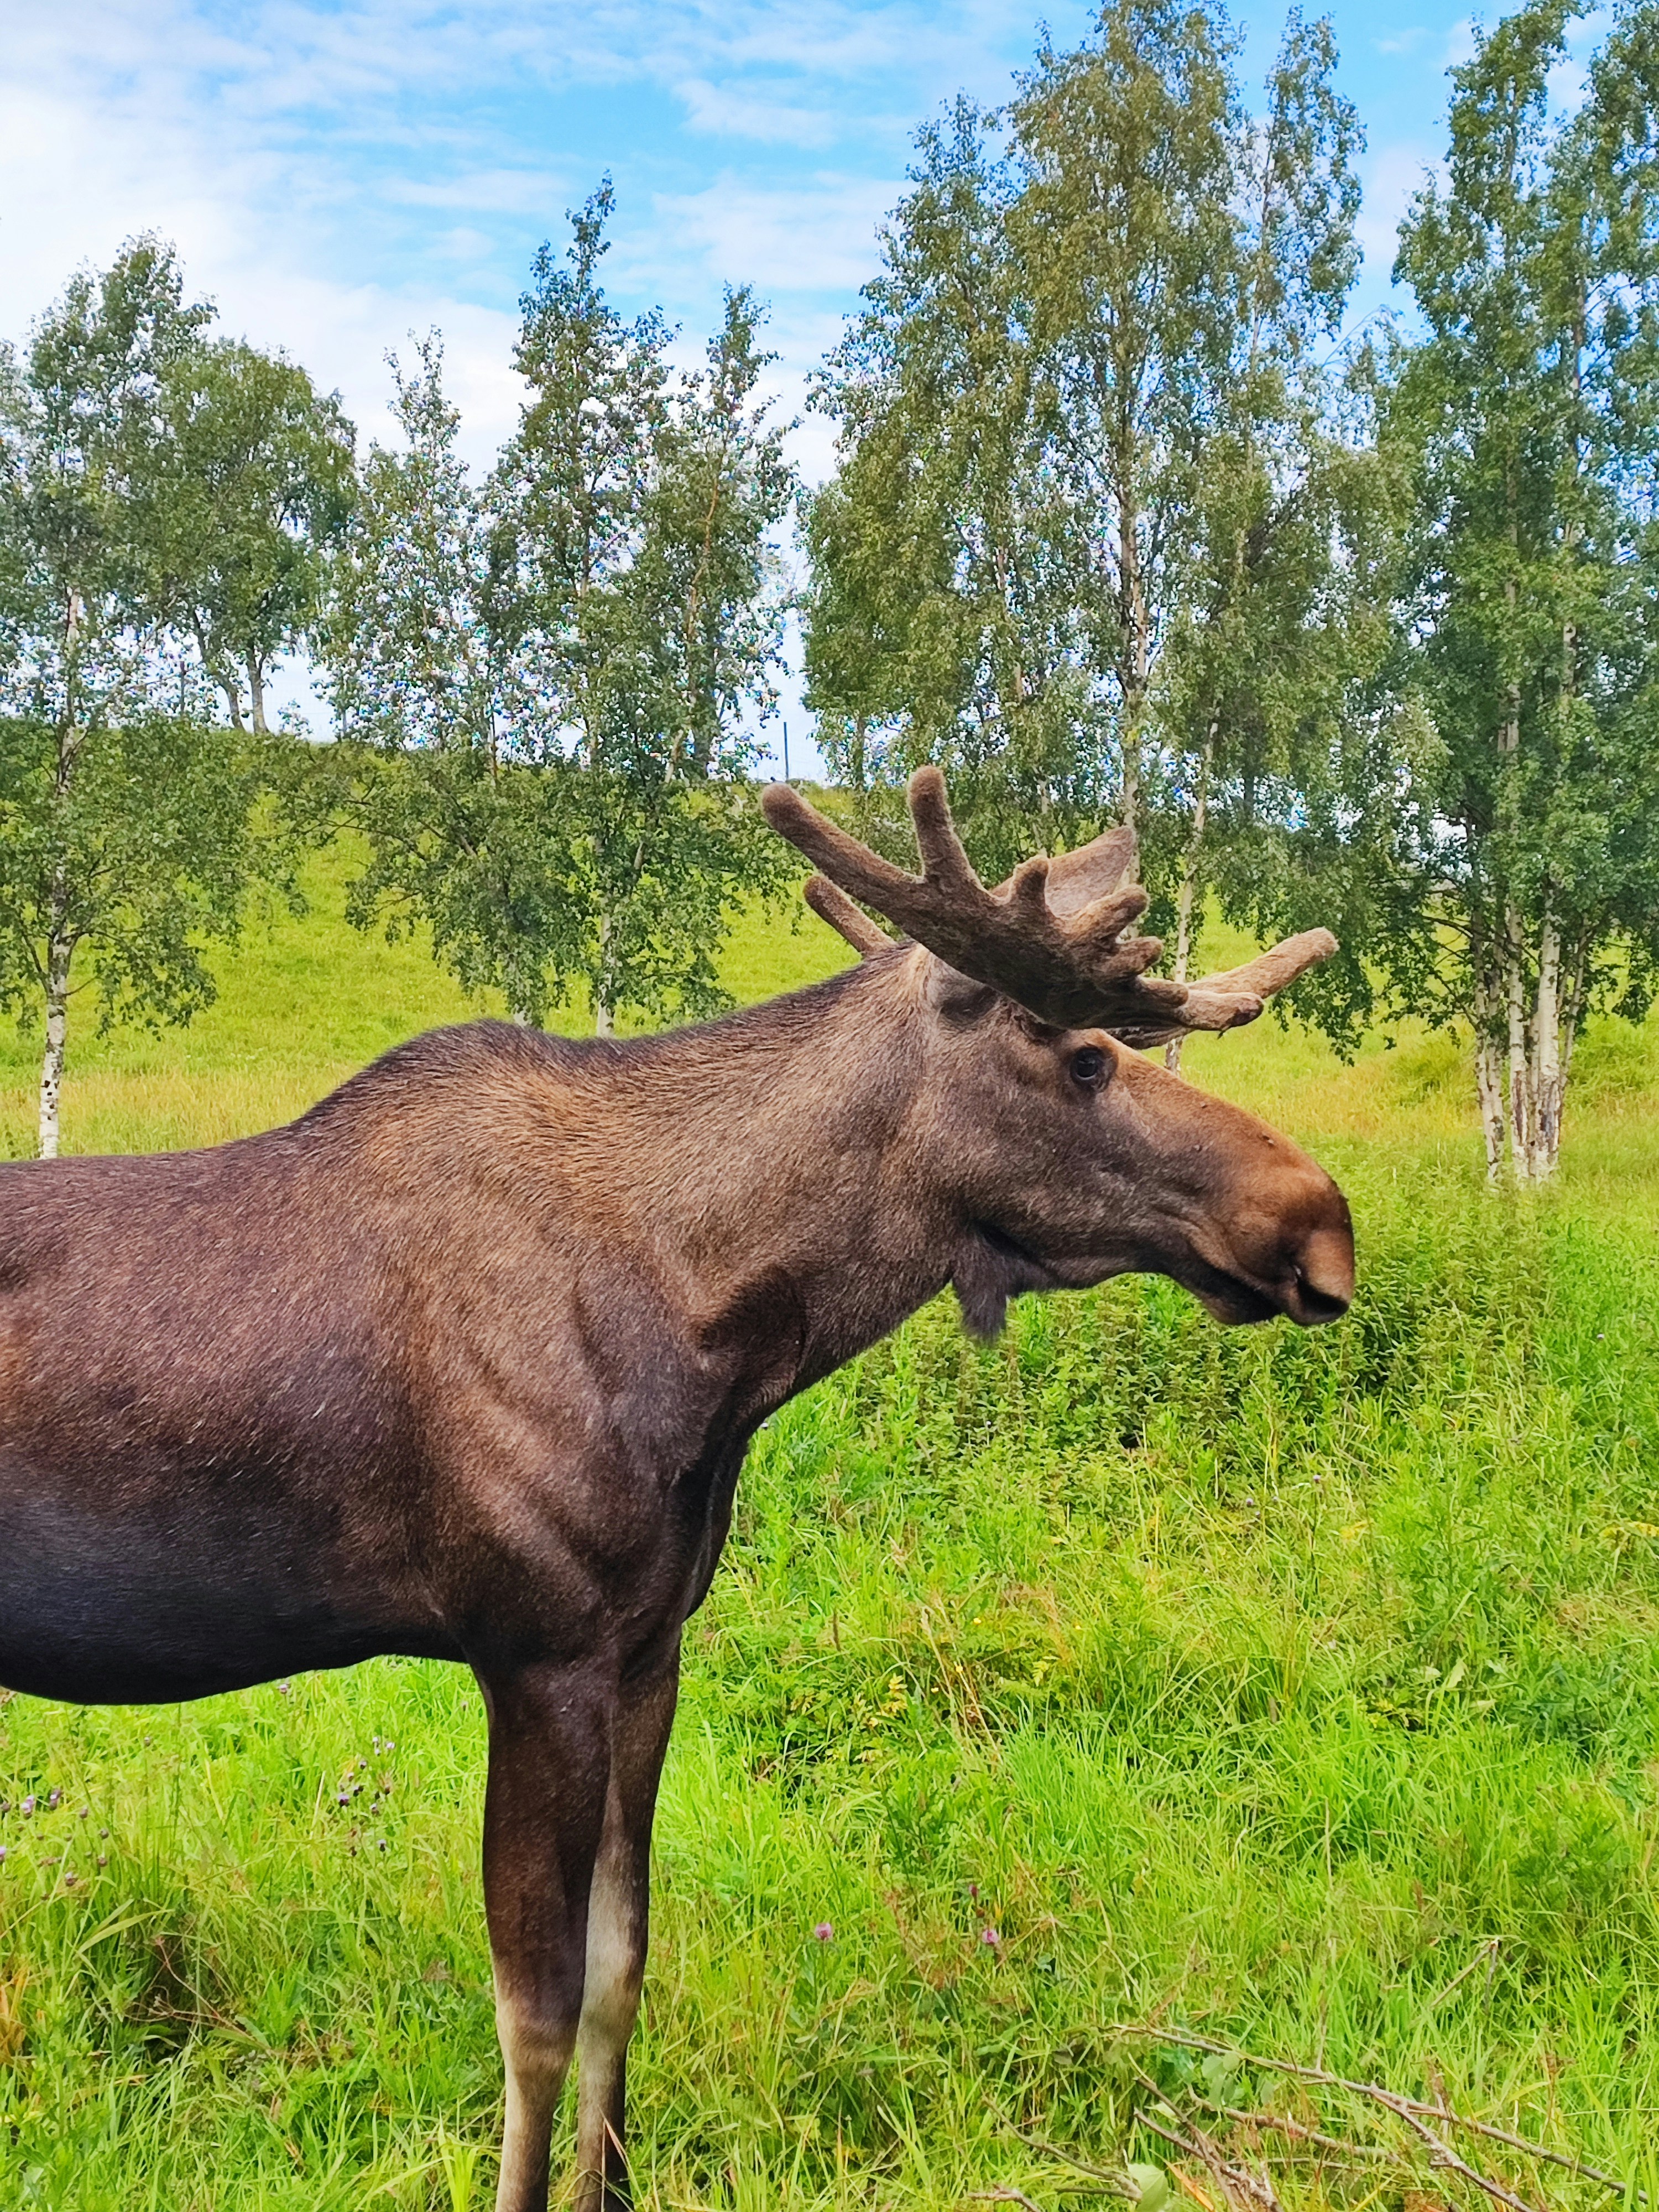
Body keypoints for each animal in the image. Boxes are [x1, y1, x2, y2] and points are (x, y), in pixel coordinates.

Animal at [0, 771, 1353, 2212]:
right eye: (1085, 1057)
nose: (1318, 1219)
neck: (722, 1338)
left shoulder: (650, 1648)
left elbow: (623, 1973)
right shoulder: (536, 1650)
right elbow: (532, 2013)